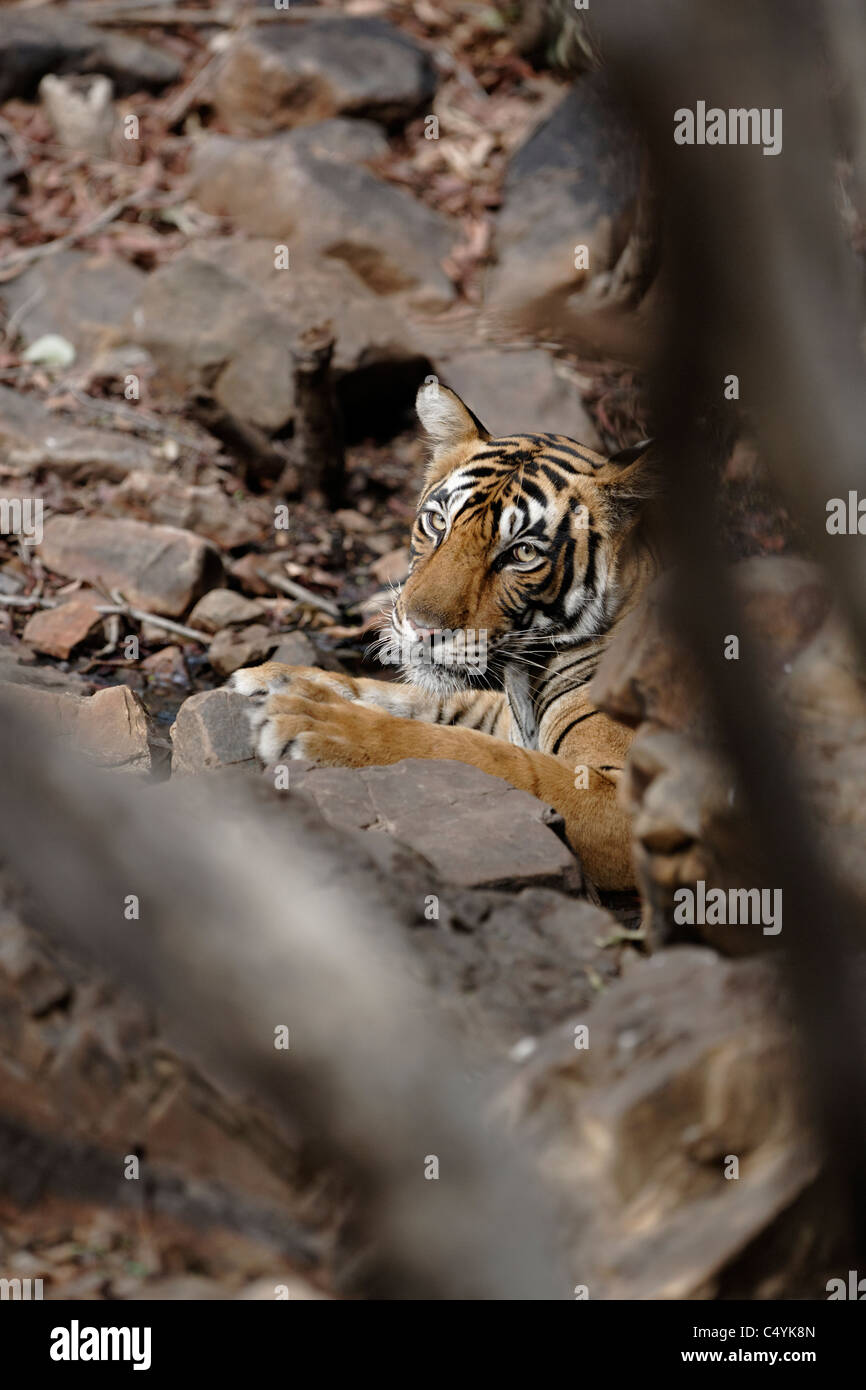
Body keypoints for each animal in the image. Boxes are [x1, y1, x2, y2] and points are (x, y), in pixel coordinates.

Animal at [229, 382, 660, 890]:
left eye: (523, 553)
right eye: (438, 523)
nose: (421, 628)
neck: (524, 681)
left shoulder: (626, 800)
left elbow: (468, 752)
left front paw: (316, 724)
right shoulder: (498, 713)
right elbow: (416, 699)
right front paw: (278, 679)